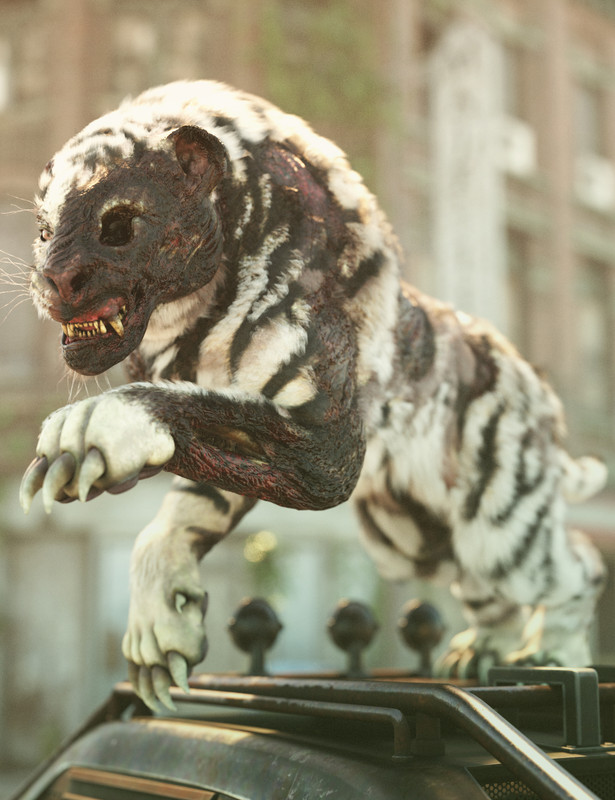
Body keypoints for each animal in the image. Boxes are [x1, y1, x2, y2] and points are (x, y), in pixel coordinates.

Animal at [19, 80, 607, 709]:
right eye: (43, 231)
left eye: (120, 224)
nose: (54, 281)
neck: (193, 313)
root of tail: (544, 399)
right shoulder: (240, 444)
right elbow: (176, 512)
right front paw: (159, 629)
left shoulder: (328, 446)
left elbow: (172, 409)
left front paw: (91, 429)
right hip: (418, 540)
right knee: (486, 593)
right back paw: (483, 651)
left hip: (502, 528)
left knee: (580, 563)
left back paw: (555, 654)